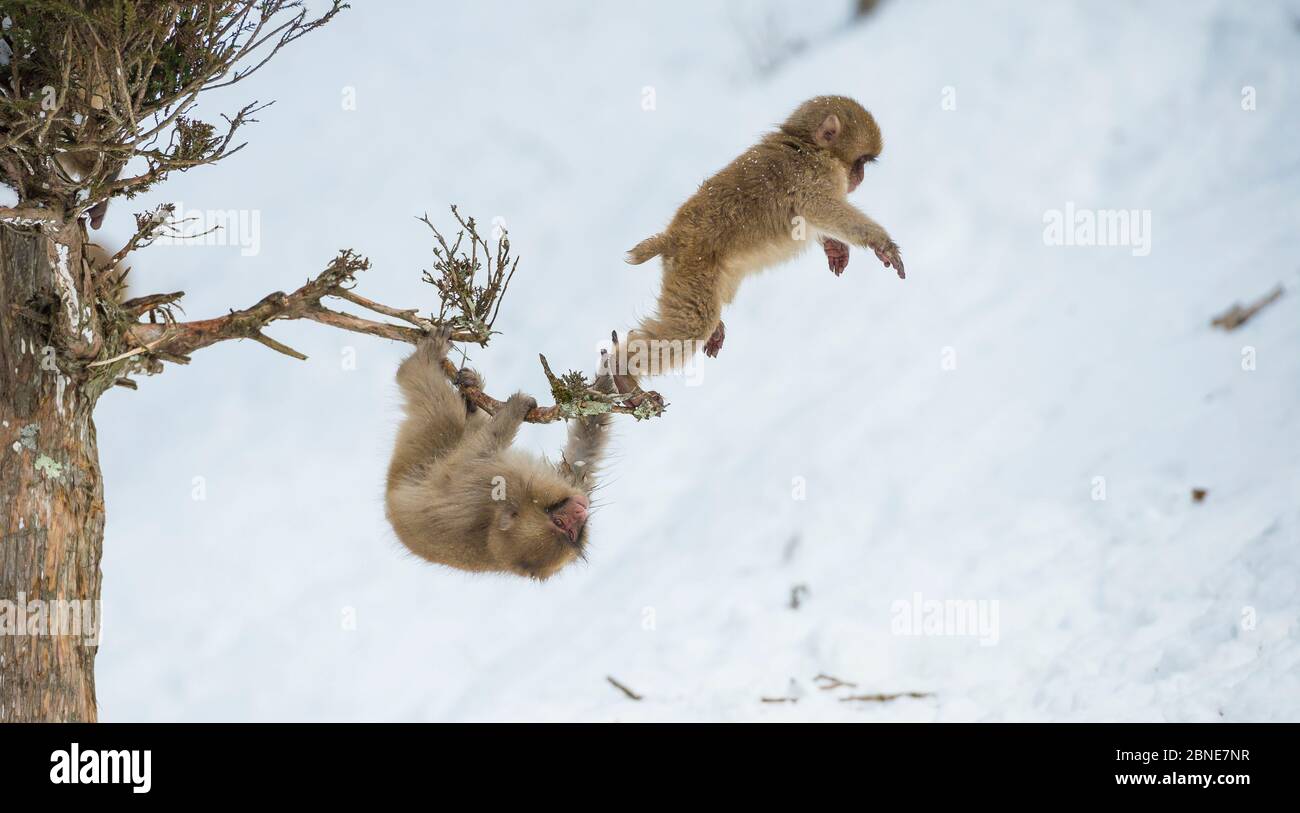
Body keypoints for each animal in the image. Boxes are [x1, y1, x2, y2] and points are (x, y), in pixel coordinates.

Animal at [384, 329, 613, 581]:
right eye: (560, 522)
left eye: (572, 532)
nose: (581, 509)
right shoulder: (480, 488)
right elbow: (467, 464)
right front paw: (516, 408)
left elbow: (581, 455)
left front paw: (605, 378)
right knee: (433, 402)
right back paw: (421, 362)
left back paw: (469, 396)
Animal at [616, 95, 903, 390]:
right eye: (861, 161)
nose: (860, 177)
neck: (807, 146)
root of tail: (672, 236)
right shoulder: (813, 179)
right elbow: (819, 209)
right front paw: (880, 241)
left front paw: (834, 246)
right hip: (694, 271)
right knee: (690, 328)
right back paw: (622, 370)